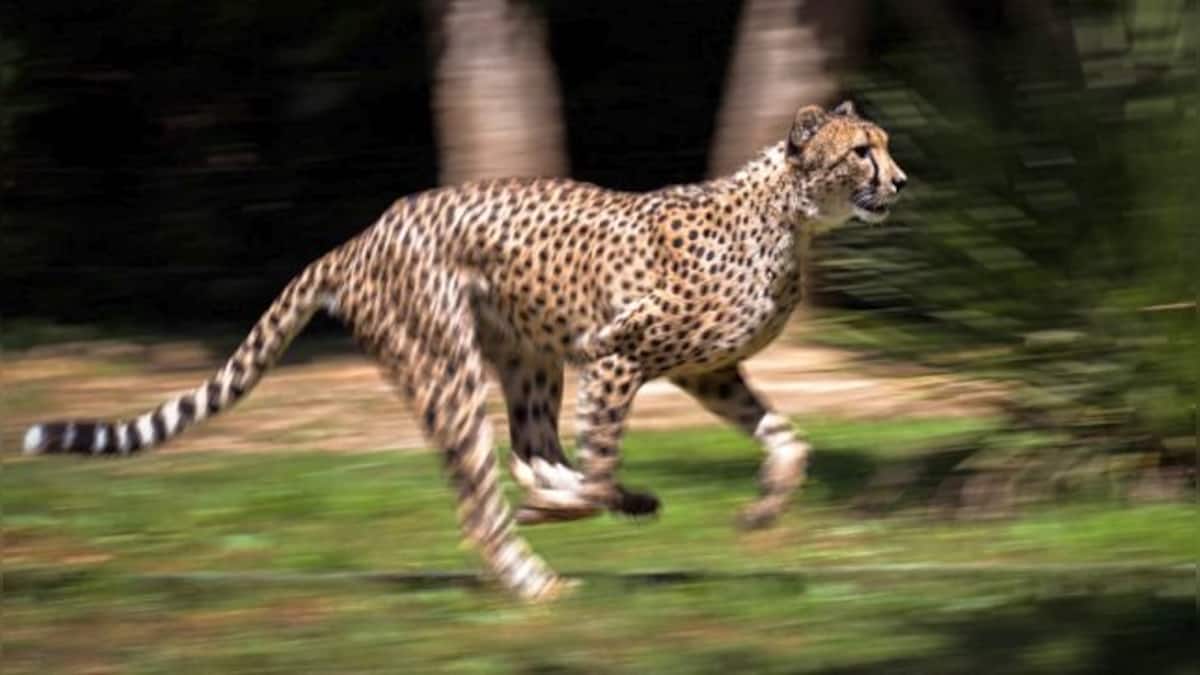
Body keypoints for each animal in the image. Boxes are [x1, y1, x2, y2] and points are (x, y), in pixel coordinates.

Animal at [22, 100, 906, 601]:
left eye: (884, 144)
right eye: (861, 150)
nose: (900, 182)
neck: (791, 216)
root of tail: (366, 231)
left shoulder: (708, 371)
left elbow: (787, 438)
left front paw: (763, 507)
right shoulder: (615, 353)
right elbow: (601, 463)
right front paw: (581, 504)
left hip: (527, 356)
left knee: (527, 449)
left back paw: (575, 507)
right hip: (449, 368)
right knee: (485, 495)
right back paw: (535, 577)